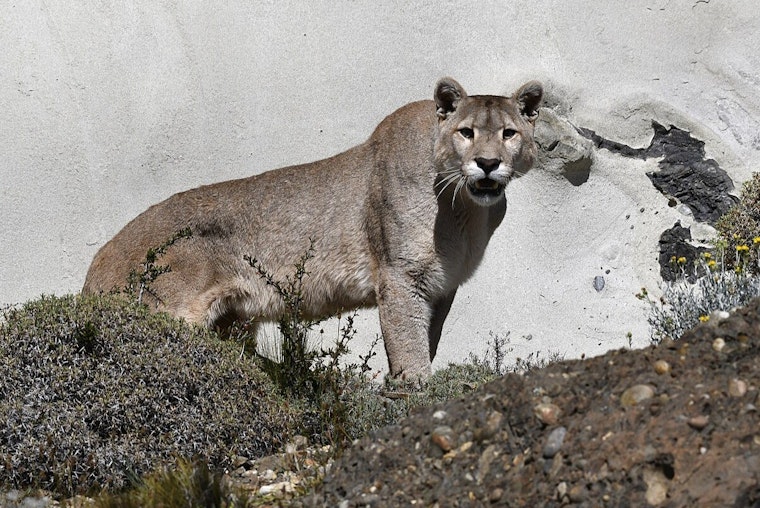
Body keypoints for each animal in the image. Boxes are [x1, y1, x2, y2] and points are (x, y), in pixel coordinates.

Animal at [83, 77, 543, 379]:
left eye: (509, 133)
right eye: (466, 132)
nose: (488, 163)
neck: (465, 210)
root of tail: (97, 263)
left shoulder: (443, 285)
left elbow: (427, 335)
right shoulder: (399, 277)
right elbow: (408, 341)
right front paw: (416, 389)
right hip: (172, 312)